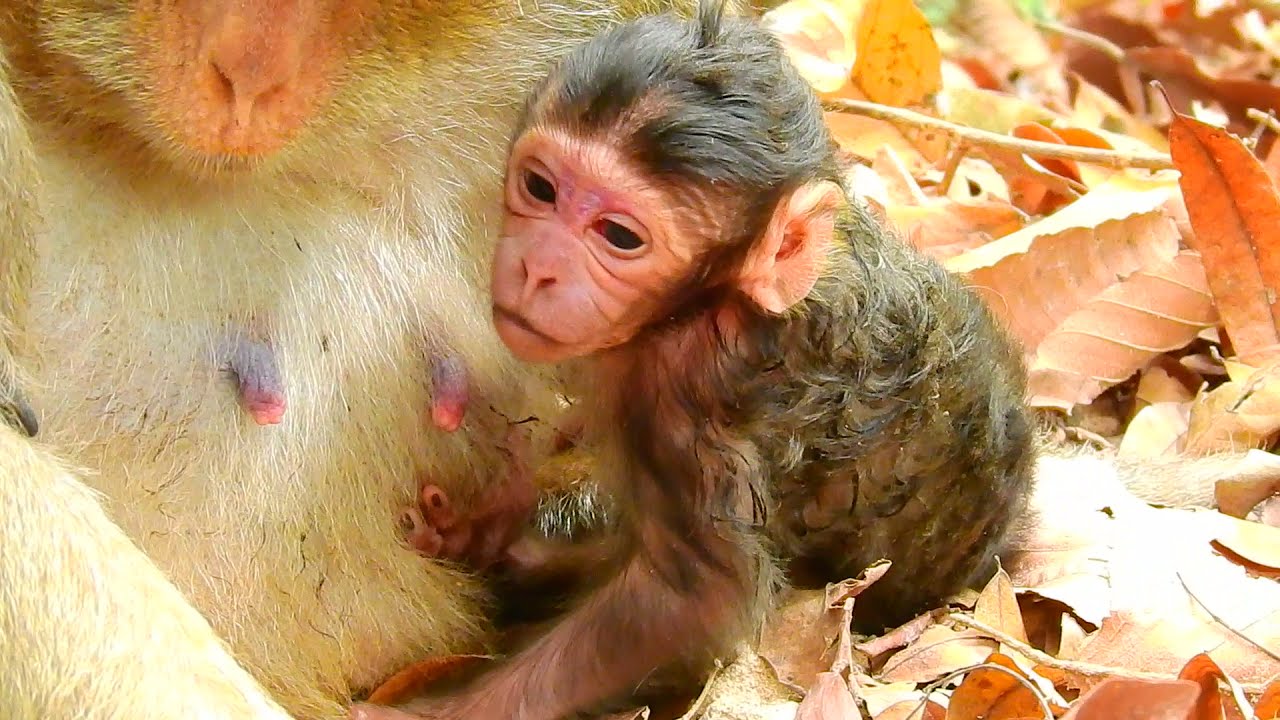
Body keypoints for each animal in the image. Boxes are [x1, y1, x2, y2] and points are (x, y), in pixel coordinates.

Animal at [350, 4, 1035, 719]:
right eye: (540, 187)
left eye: (619, 236)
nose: (537, 269)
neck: (713, 299)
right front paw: (490, 526)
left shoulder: (689, 388)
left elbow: (691, 600)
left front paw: (437, 709)